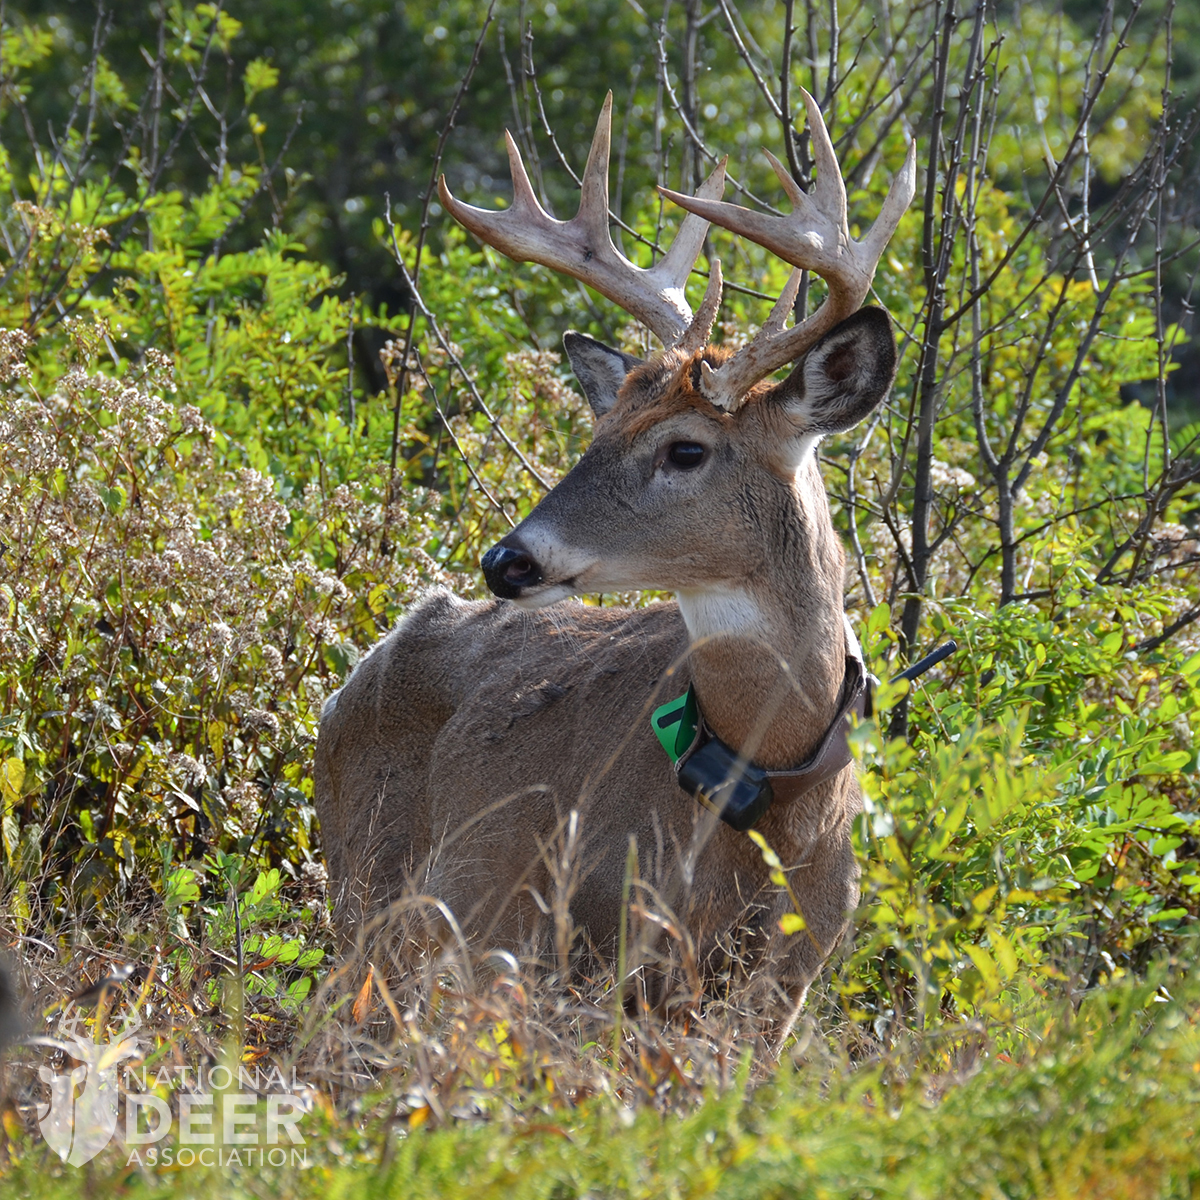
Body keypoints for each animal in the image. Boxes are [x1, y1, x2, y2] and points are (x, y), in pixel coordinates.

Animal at [314, 89, 915, 1016]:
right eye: (596, 433)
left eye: (686, 449)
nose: (506, 562)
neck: (769, 800)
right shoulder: (588, 942)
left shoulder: (795, 972)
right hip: (368, 885)